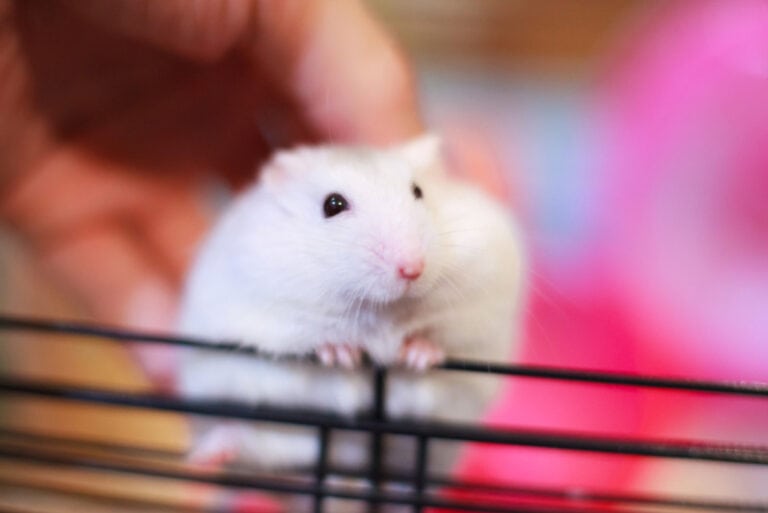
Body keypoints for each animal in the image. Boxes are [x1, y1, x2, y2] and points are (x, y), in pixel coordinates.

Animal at [176, 134, 525, 496]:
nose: (412, 269)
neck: (381, 311)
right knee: (245, 443)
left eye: (418, 191)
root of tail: (346, 474)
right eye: (333, 205)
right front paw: (343, 355)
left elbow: (443, 337)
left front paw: (416, 355)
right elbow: (307, 340)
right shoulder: (270, 313)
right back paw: (204, 458)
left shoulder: (478, 308)